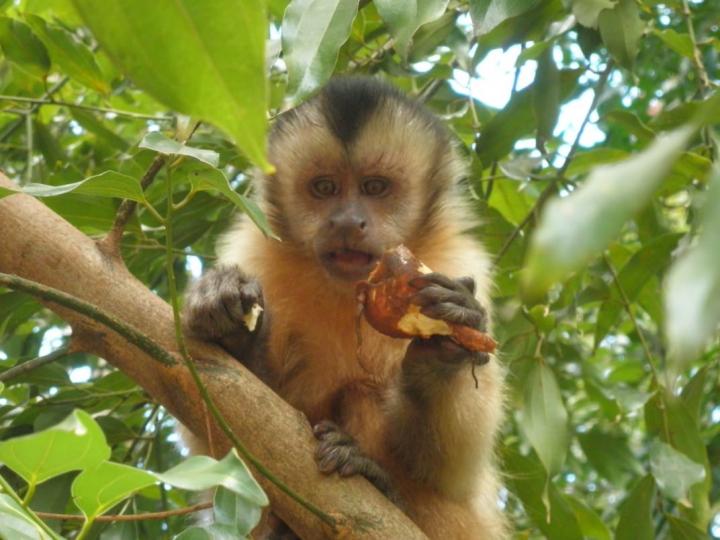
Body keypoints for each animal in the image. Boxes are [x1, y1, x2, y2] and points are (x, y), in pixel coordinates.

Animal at [182, 76, 508, 539]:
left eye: (374, 187)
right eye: (324, 188)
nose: (347, 222)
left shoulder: (459, 261)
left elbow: (452, 474)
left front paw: (442, 352)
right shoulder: (252, 251)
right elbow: (220, 446)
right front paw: (229, 329)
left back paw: (374, 478)